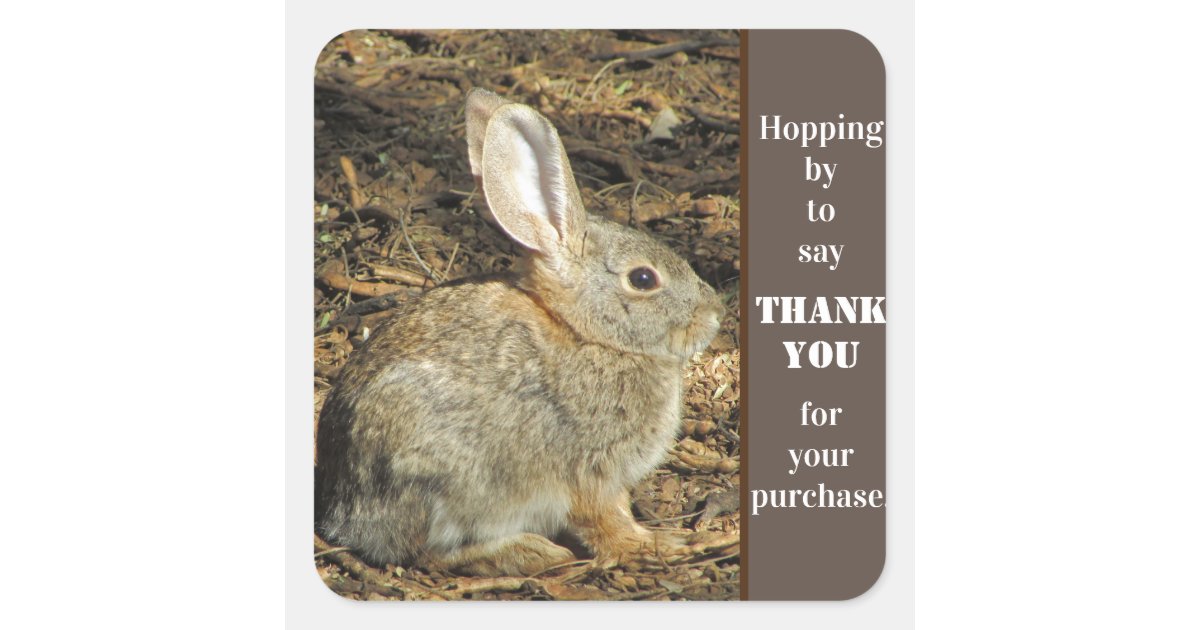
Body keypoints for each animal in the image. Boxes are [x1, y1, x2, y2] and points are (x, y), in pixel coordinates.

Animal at [315, 88, 726, 577]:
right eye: (643, 279)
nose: (715, 313)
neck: (588, 335)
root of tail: (345, 515)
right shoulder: (590, 471)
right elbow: (606, 520)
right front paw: (656, 545)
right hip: (447, 481)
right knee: (428, 555)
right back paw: (531, 552)